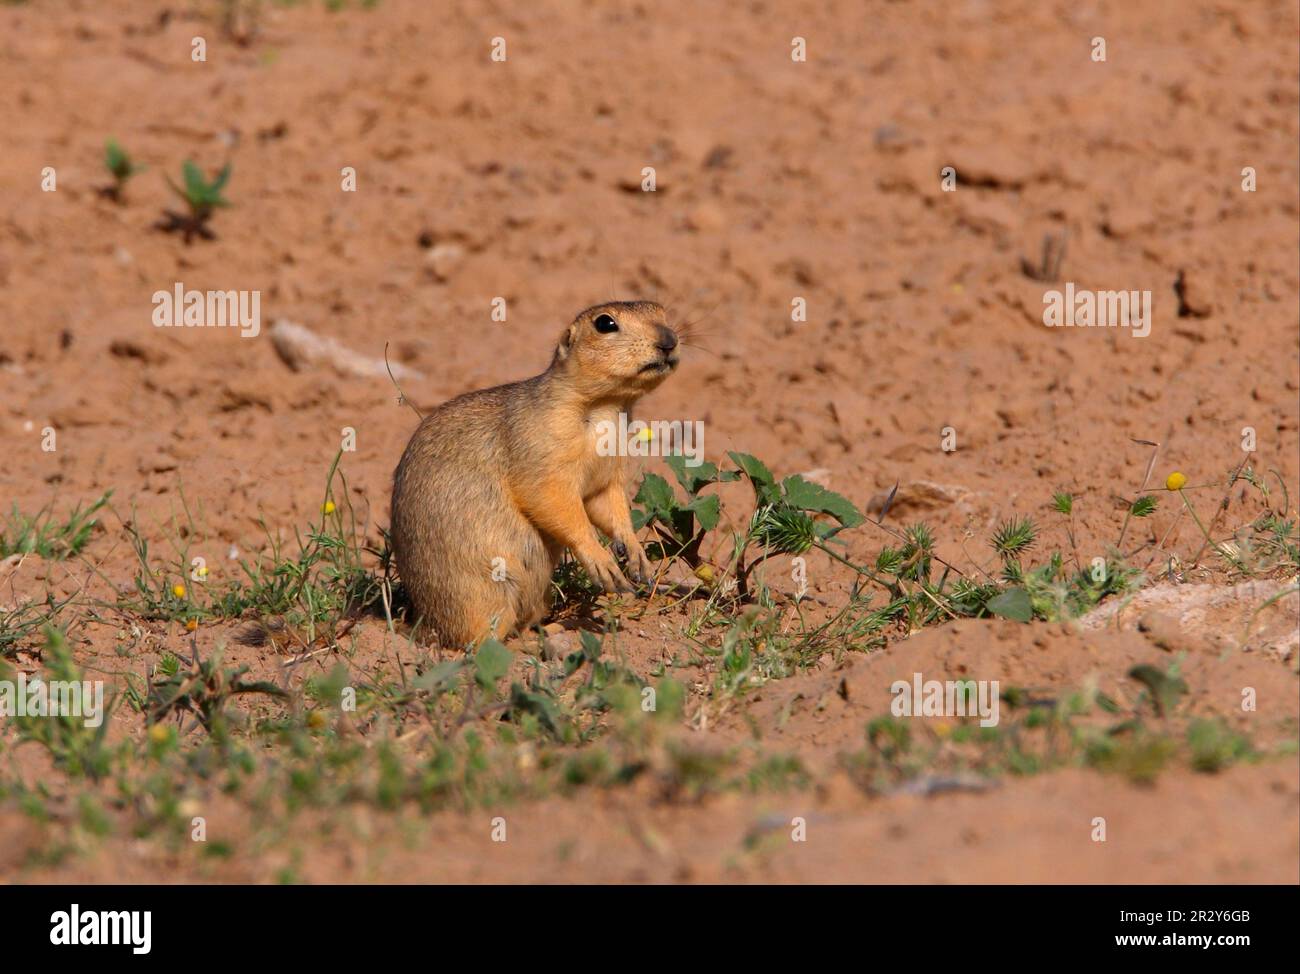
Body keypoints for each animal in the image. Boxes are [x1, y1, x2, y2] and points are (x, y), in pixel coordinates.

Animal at [390, 301, 680, 648]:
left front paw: (637, 557)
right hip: (484, 596)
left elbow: (609, 506)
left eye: (663, 312)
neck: (607, 408)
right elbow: (553, 501)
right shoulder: (543, 454)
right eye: (605, 324)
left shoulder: (608, 474)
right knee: (478, 642)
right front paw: (604, 564)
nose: (670, 340)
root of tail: (424, 623)